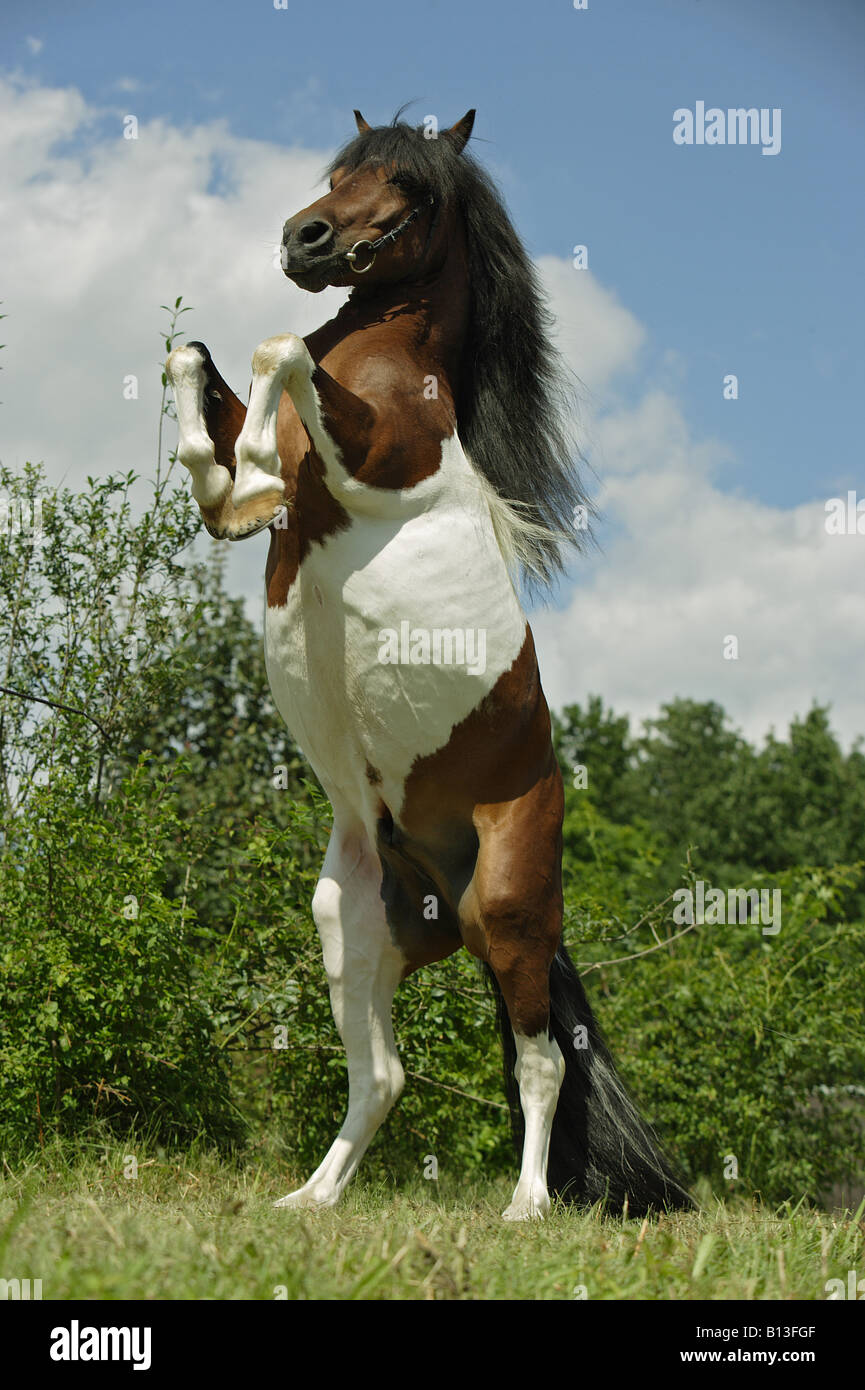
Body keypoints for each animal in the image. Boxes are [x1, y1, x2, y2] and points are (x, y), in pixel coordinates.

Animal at [166, 108, 692, 1220]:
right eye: (340, 172)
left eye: (406, 184)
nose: (304, 240)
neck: (382, 350)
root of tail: (449, 894)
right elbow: (198, 355)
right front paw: (230, 490)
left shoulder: (378, 454)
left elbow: (278, 348)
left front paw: (257, 481)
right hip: (354, 923)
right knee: (382, 1075)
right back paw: (310, 1200)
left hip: (511, 916)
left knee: (541, 1061)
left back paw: (527, 1206)